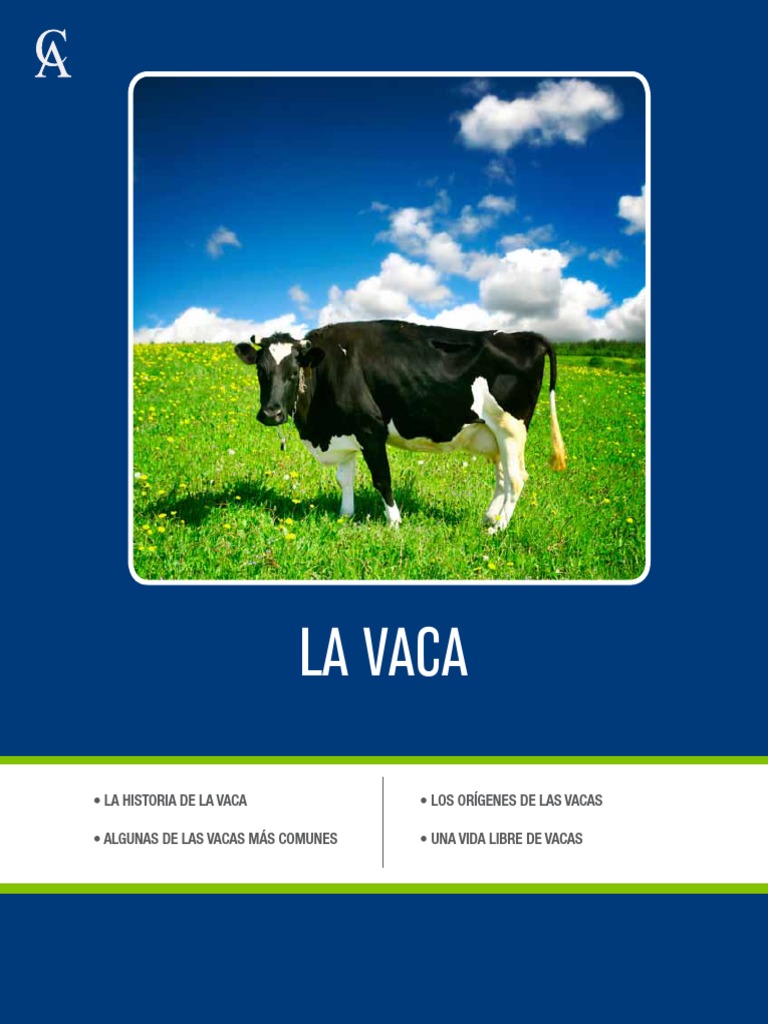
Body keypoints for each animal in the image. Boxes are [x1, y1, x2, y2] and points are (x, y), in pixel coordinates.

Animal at [234, 319, 566, 532]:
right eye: (261, 371)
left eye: (293, 372)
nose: (271, 413)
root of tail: (525, 336)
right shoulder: (344, 432)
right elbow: (344, 480)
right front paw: (345, 516)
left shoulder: (371, 430)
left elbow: (382, 479)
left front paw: (394, 522)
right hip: (492, 433)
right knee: (502, 477)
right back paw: (490, 519)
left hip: (511, 428)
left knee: (517, 478)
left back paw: (497, 530)